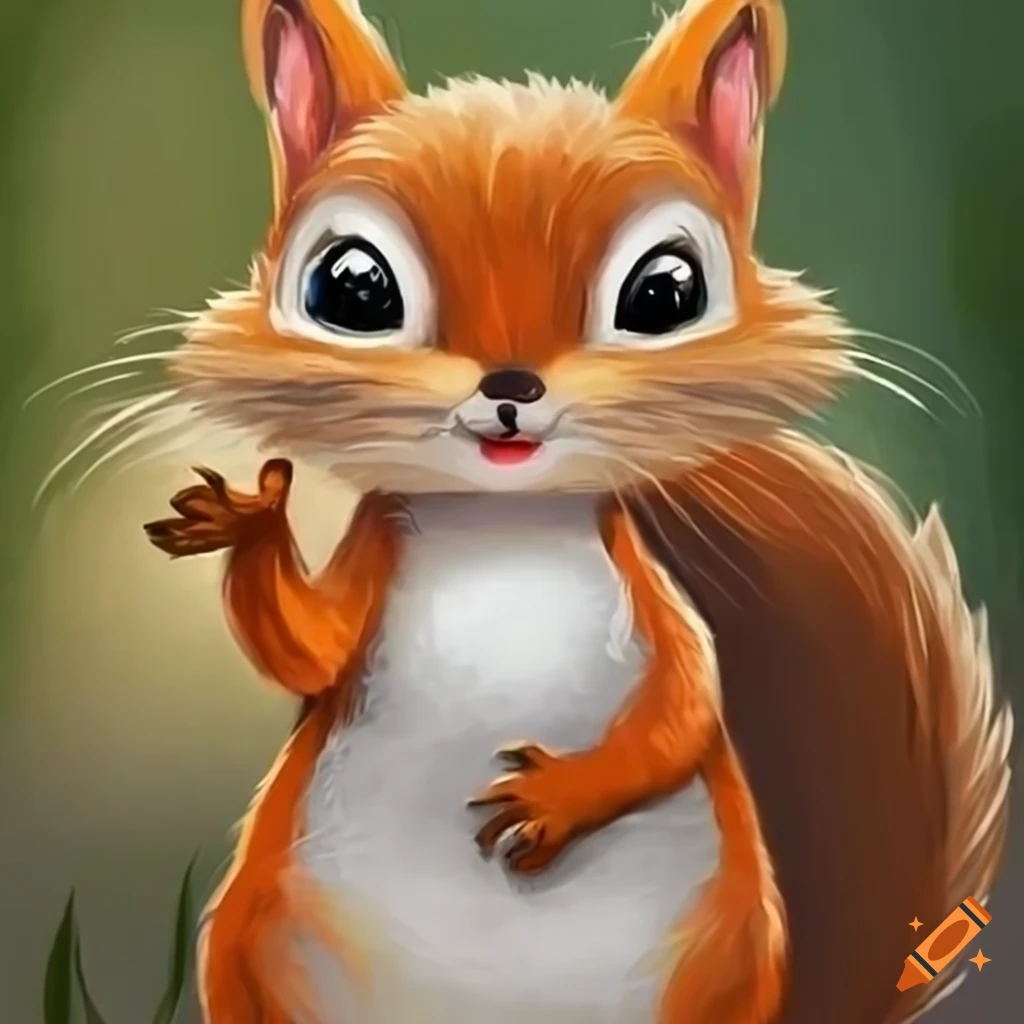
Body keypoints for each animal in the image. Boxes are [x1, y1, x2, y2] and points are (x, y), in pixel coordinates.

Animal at [131, 0, 1013, 1022]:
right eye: (350, 288)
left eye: (665, 293)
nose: (511, 386)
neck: (503, 529)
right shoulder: (377, 549)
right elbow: (309, 649)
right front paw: (249, 514)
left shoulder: (651, 599)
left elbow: (688, 700)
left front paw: (556, 799)